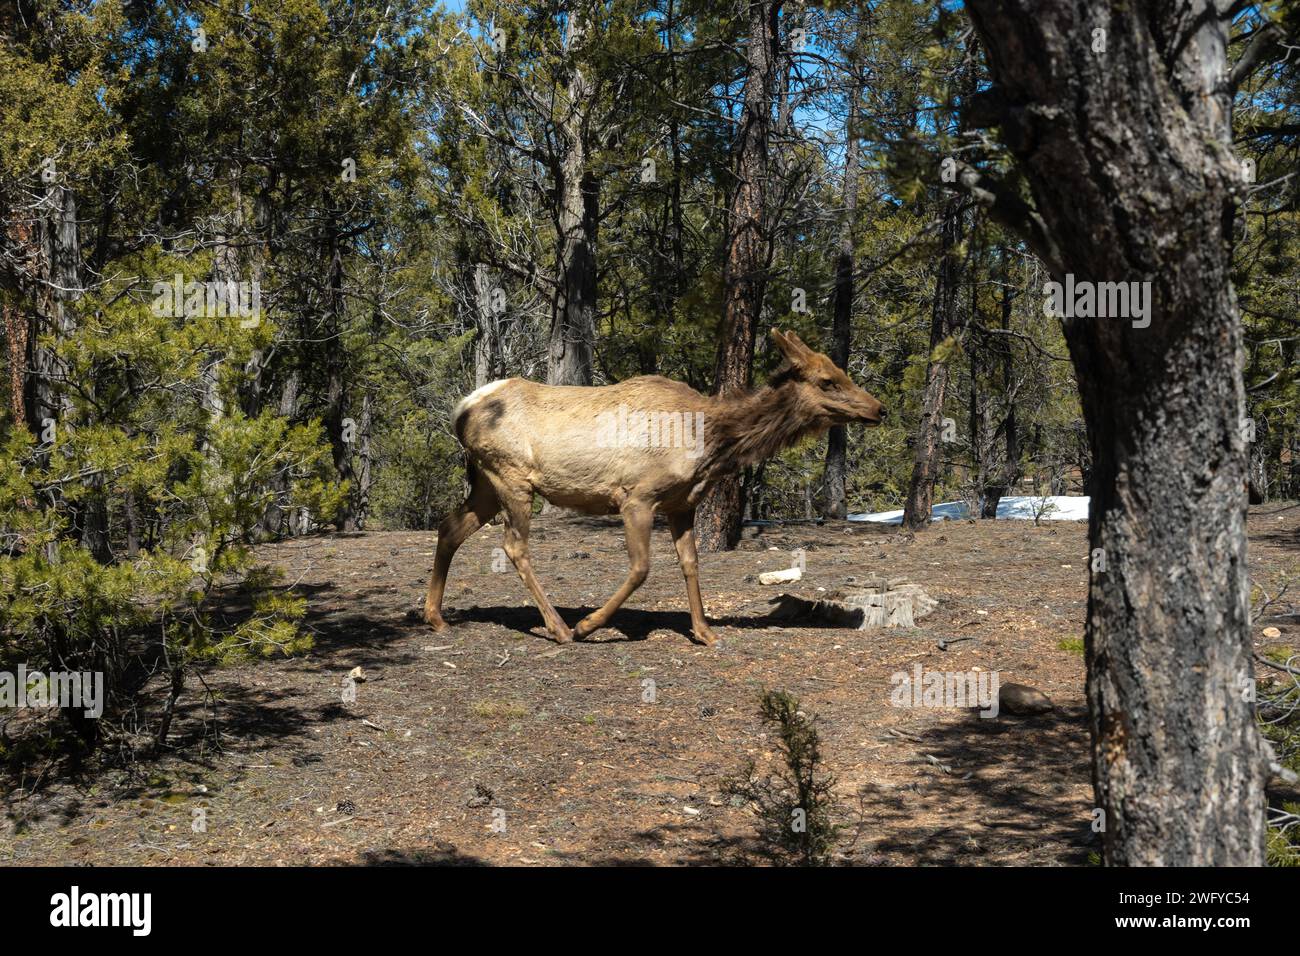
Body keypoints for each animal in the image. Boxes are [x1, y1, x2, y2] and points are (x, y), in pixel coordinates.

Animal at [423, 329, 886, 645]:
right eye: (827, 381)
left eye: (842, 371)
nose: (879, 408)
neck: (709, 442)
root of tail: (460, 411)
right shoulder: (637, 496)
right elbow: (642, 567)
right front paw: (590, 624)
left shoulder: (683, 504)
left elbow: (691, 562)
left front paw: (704, 630)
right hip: (511, 476)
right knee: (513, 545)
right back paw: (559, 626)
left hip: (485, 482)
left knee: (450, 527)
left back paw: (437, 617)